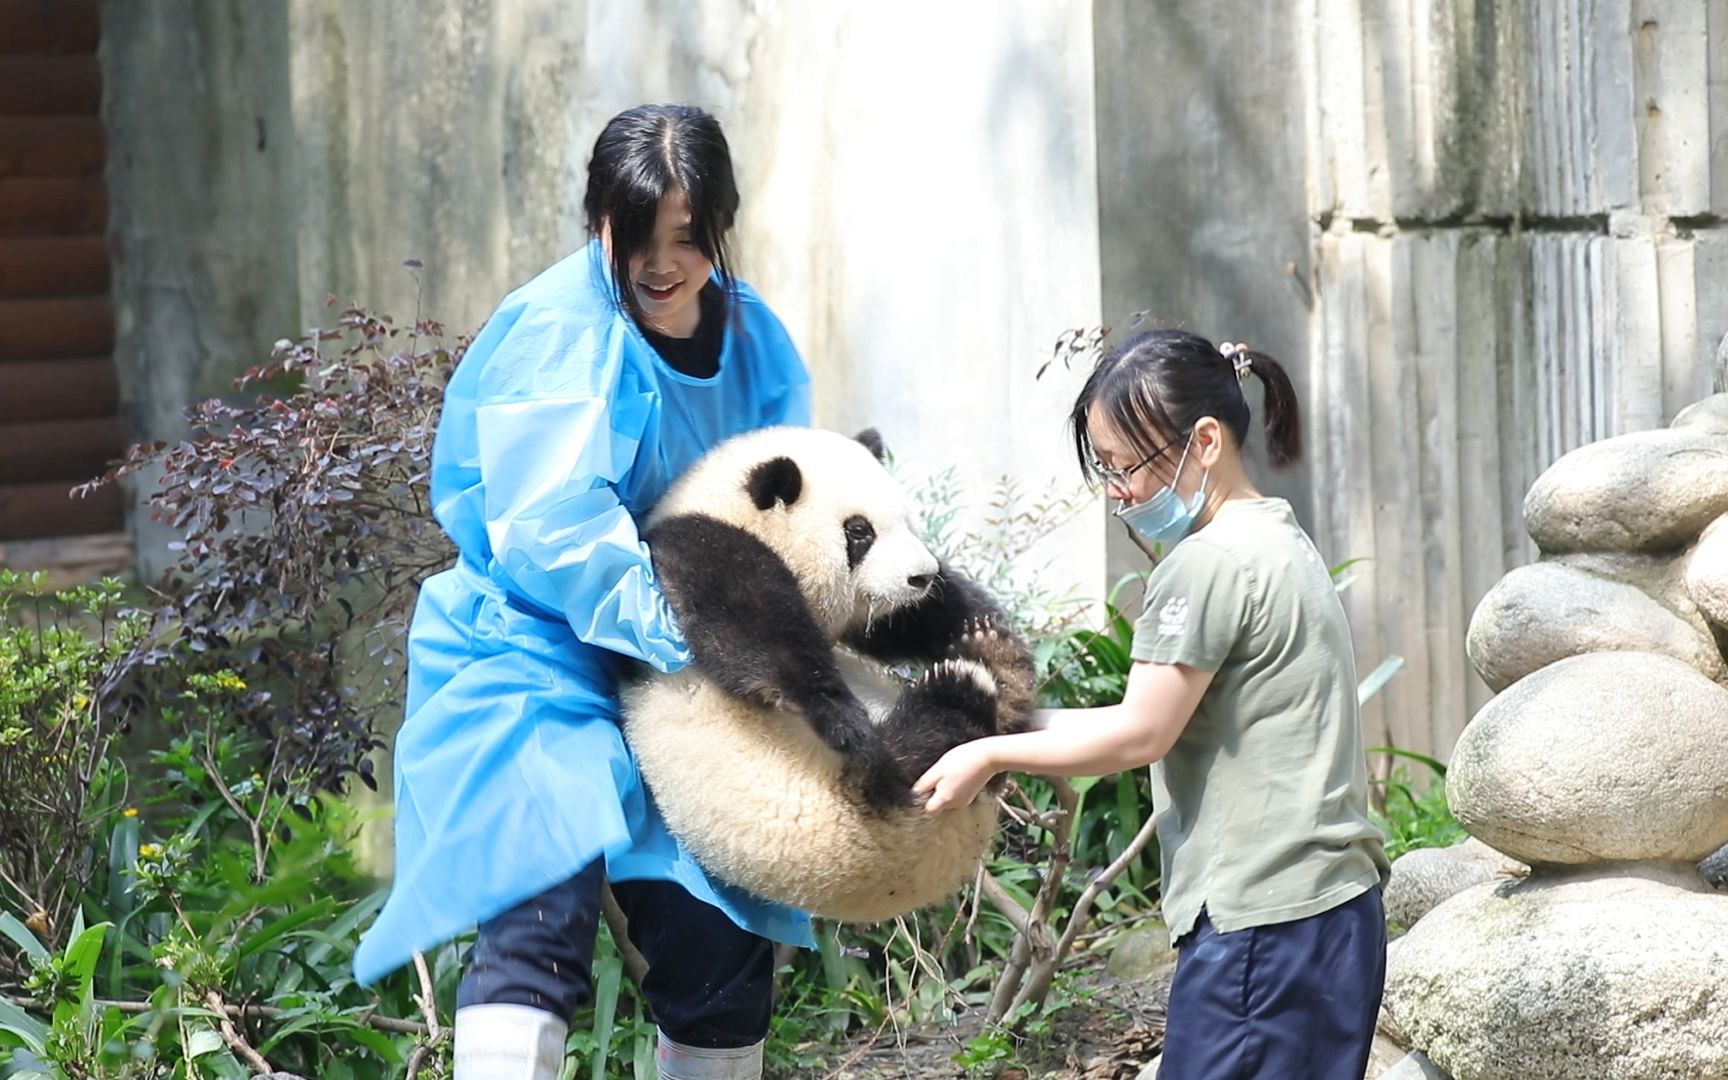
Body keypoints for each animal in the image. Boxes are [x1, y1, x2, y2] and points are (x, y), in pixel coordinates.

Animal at [619, 426, 1037, 923]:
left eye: (907, 522)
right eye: (860, 531)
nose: (921, 576)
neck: (718, 501)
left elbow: (908, 620)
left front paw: (986, 633)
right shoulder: (691, 548)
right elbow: (748, 625)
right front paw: (843, 718)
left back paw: (994, 670)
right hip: (856, 802)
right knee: (916, 757)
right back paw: (957, 691)